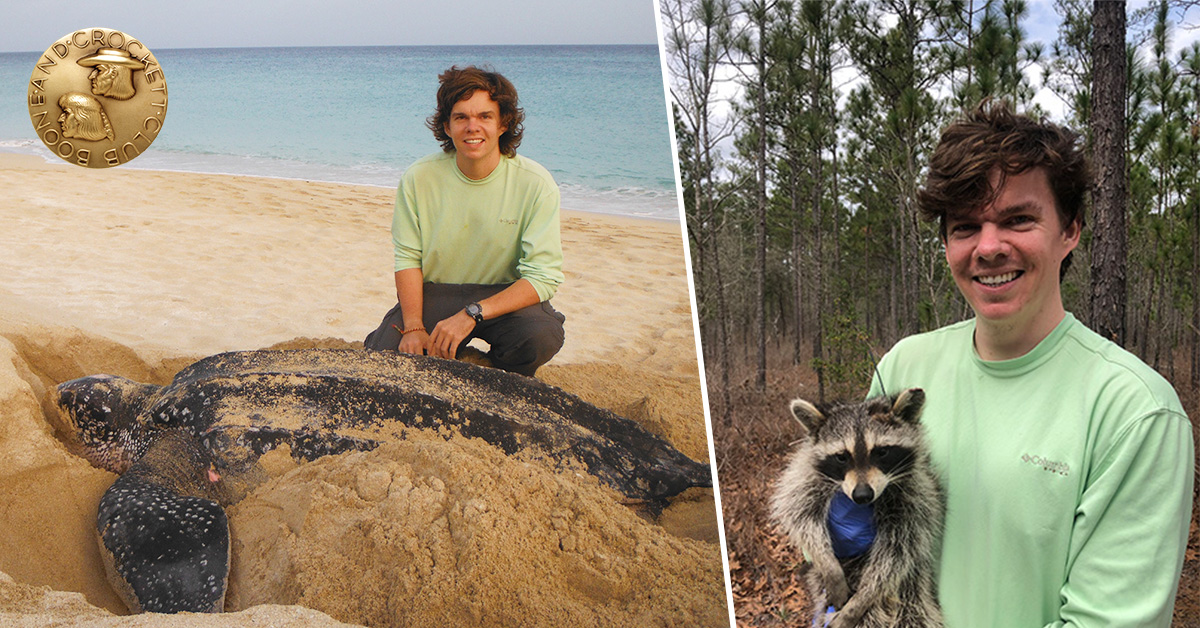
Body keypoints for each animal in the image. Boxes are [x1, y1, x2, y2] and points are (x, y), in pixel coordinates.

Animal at [770, 388, 944, 628]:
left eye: (882, 452)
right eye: (842, 456)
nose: (862, 495)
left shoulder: (916, 495)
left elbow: (896, 553)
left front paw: (862, 599)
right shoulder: (806, 477)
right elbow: (802, 518)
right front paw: (829, 566)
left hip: (912, 589)